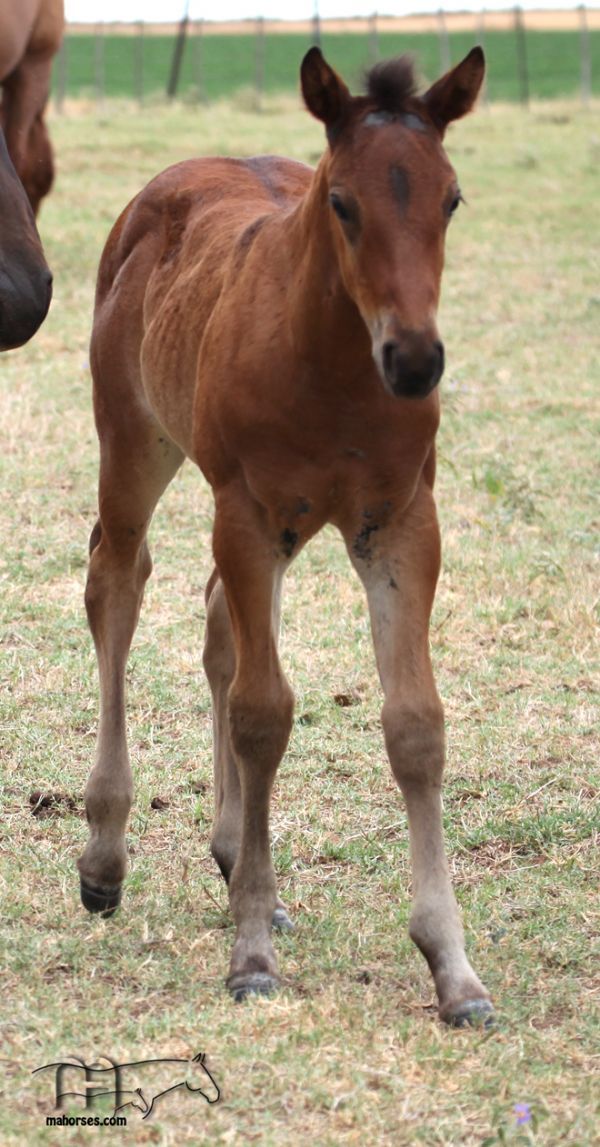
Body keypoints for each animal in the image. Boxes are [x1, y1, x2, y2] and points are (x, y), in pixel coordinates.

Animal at [79, 46, 493, 1028]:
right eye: (340, 202)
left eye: (452, 198)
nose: (416, 360)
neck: (337, 370)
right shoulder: (249, 512)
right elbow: (264, 714)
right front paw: (251, 957)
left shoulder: (400, 525)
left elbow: (416, 724)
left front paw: (452, 967)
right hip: (137, 443)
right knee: (117, 582)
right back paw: (106, 855)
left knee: (216, 620)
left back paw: (236, 857)